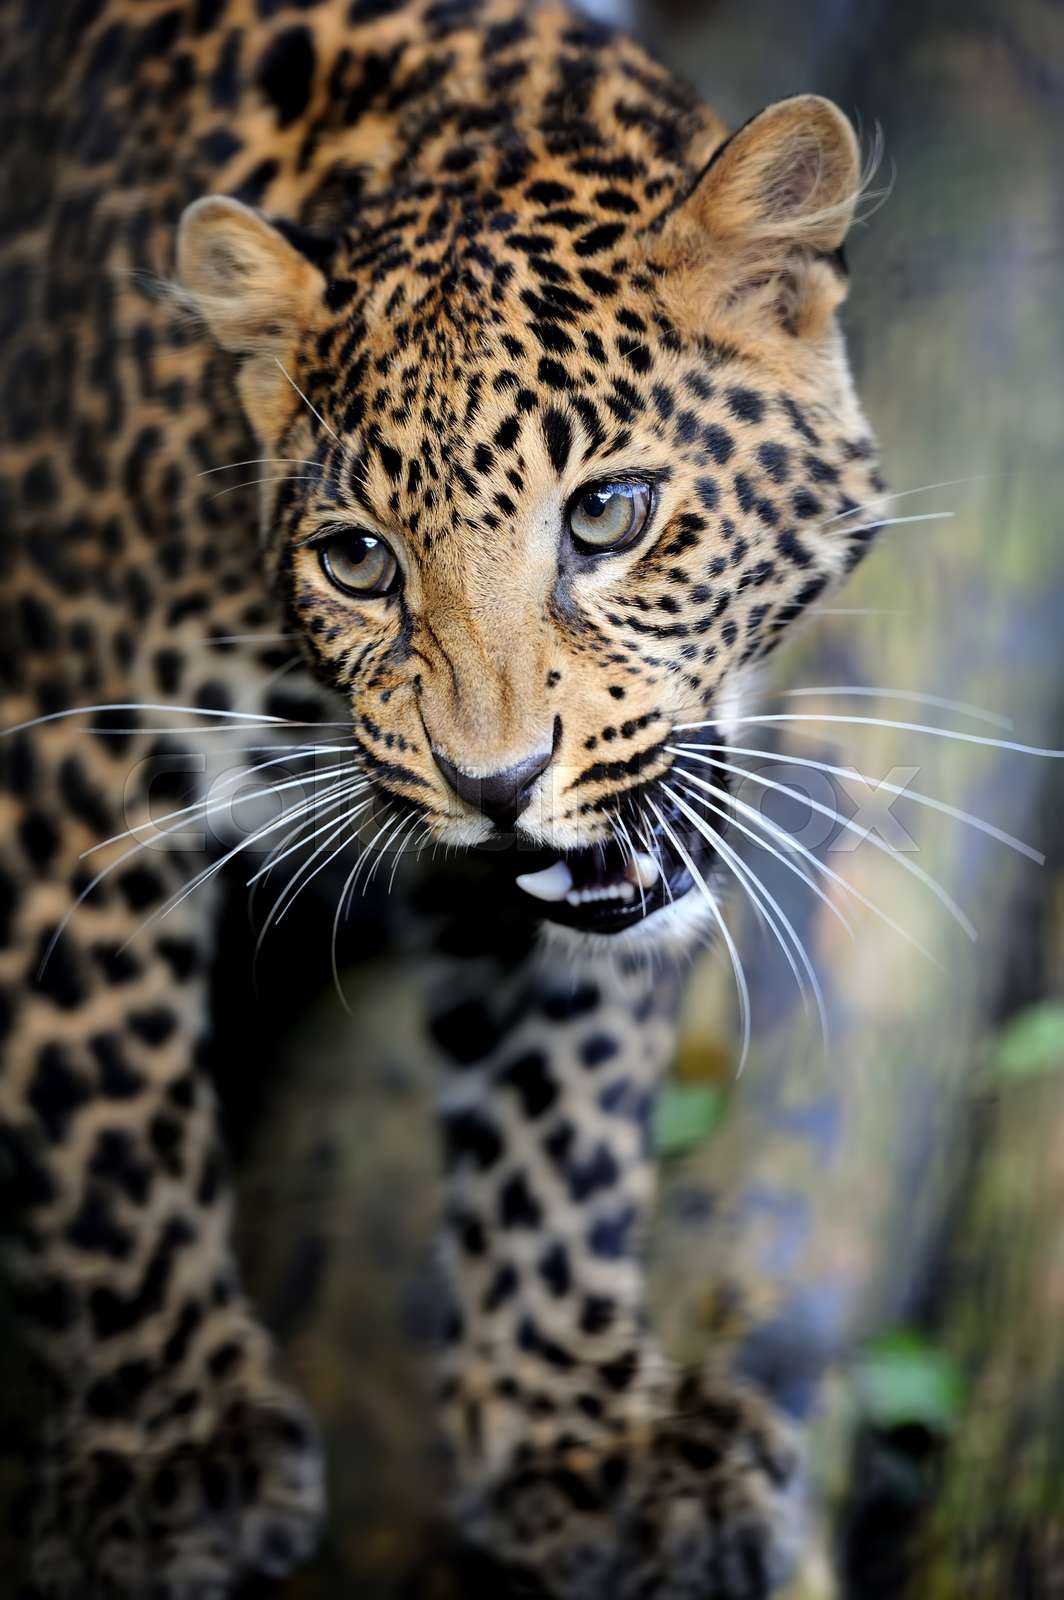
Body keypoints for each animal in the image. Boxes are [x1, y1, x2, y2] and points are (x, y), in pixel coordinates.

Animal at [0, 0, 886, 1595]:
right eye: (357, 560)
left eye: (607, 513)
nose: (497, 783)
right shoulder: (62, 746)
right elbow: (103, 1101)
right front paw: (176, 1455)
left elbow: (561, 1110)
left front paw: (584, 1435)